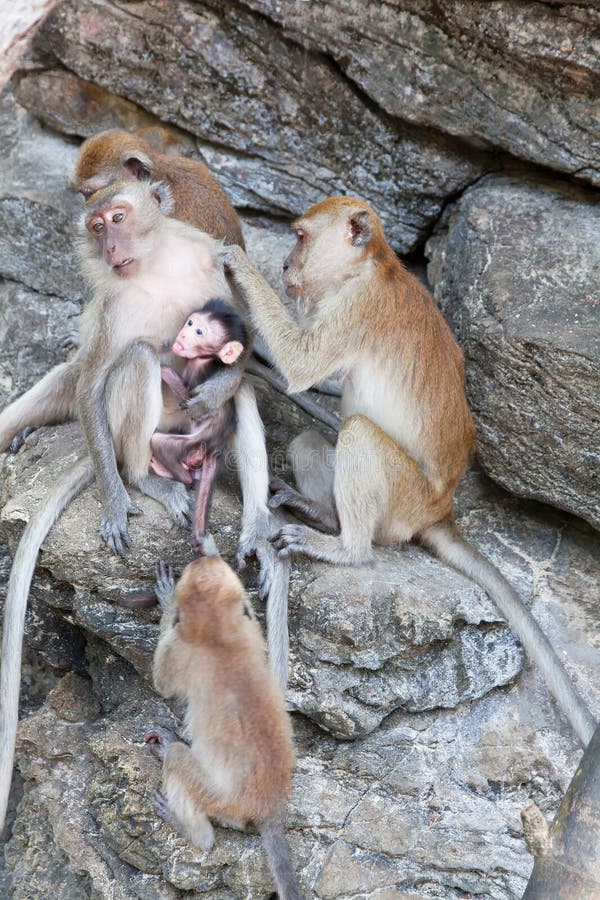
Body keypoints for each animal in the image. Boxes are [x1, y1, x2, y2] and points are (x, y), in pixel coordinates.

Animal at [145, 557, 302, 900]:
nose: (204, 556)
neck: (220, 637)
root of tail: (269, 802)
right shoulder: (246, 629)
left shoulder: (179, 649)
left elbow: (162, 684)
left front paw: (166, 600)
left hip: (222, 800)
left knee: (178, 758)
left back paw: (190, 828)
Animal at [222, 196, 597, 749]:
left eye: (300, 237)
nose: (286, 267)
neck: (368, 271)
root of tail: (440, 511)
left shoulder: (356, 309)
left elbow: (301, 365)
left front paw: (234, 264)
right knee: (313, 439)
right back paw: (321, 515)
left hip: (405, 498)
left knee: (358, 434)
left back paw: (345, 547)